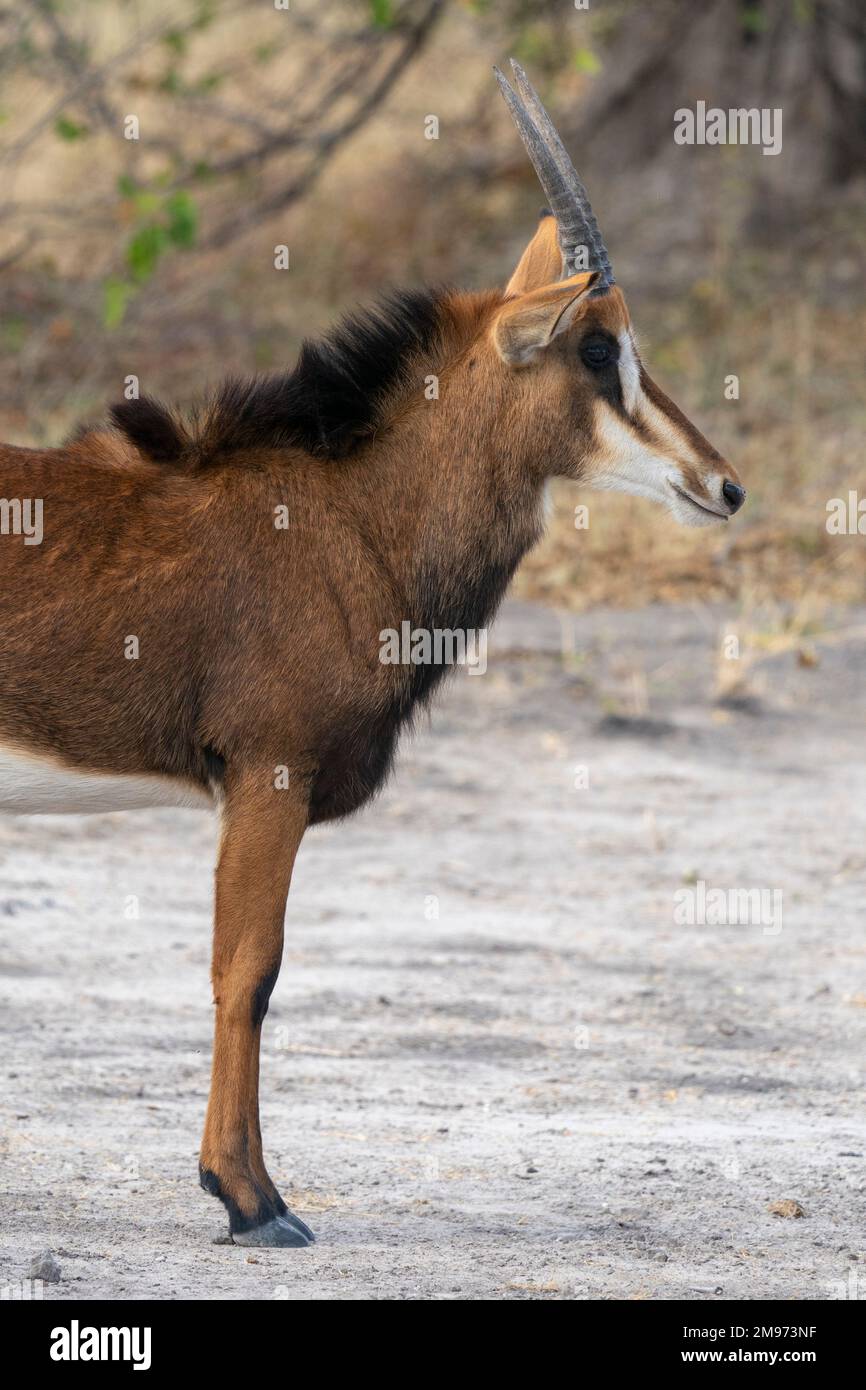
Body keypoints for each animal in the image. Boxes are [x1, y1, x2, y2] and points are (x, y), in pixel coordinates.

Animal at [0, 62, 745, 1251]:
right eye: (596, 348)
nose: (723, 486)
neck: (346, 517)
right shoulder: (269, 773)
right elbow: (247, 971)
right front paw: (249, 1198)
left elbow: (250, 971)